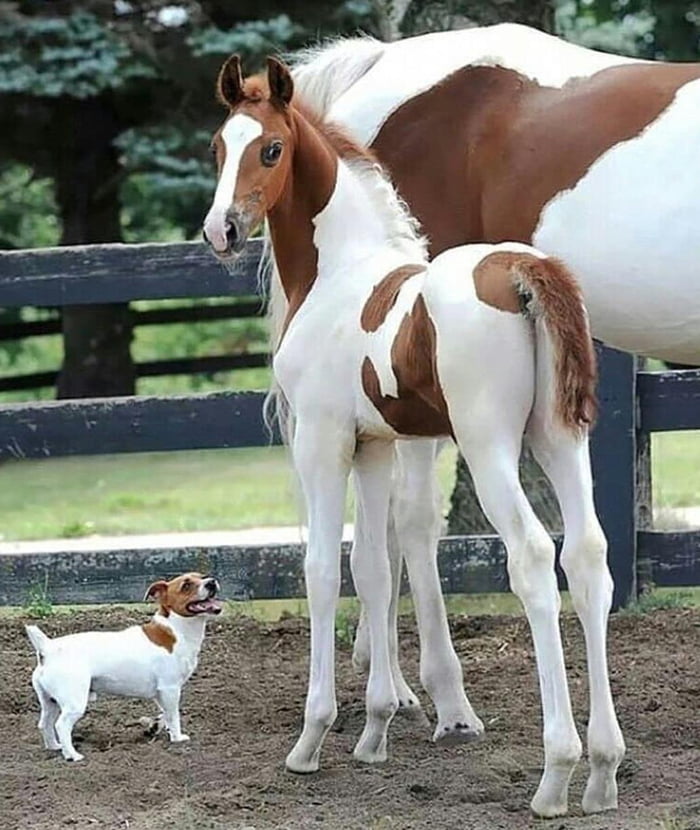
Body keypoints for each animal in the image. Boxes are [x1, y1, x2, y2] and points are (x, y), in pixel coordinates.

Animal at [202, 54, 625, 819]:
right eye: (220, 147)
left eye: (271, 149)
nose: (220, 230)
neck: (340, 275)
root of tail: (523, 270)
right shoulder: (373, 446)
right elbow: (374, 567)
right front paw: (375, 731)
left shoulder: (323, 442)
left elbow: (320, 568)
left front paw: (312, 739)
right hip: (558, 441)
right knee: (586, 560)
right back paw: (603, 771)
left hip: (489, 449)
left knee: (531, 559)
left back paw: (556, 774)